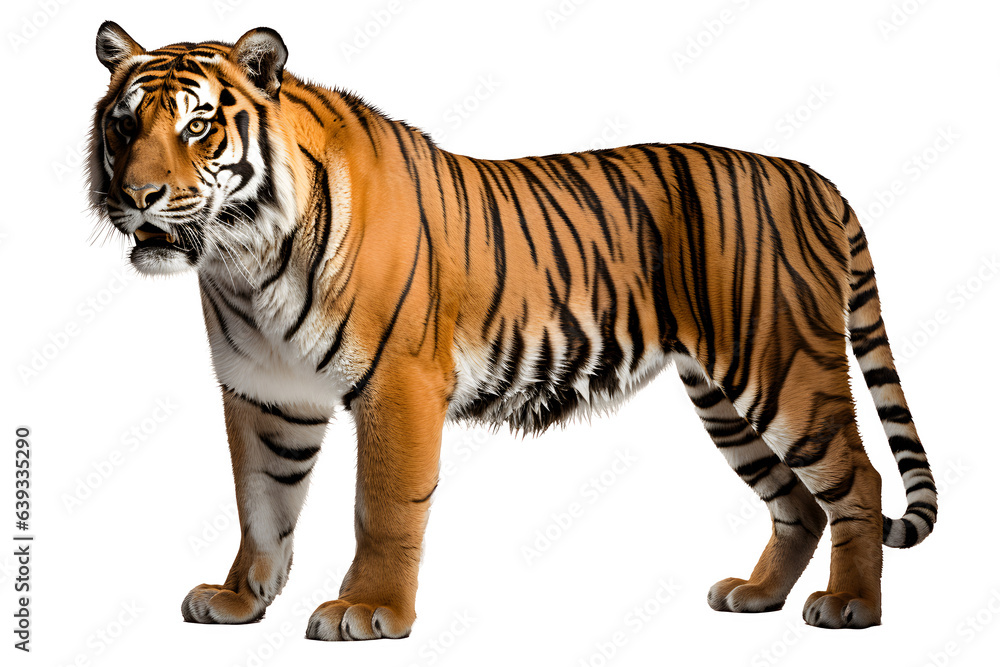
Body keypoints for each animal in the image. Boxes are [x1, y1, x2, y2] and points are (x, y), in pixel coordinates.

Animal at [88, 22, 937, 639]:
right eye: (124, 126)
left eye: (199, 126)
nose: (138, 195)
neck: (245, 260)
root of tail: (812, 176)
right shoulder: (265, 394)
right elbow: (261, 503)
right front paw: (238, 599)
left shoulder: (398, 384)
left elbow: (382, 505)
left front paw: (368, 610)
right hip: (723, 398)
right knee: (797, 501)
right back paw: (757, 593)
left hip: (785, 369)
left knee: (856, 481)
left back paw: (851, 607)